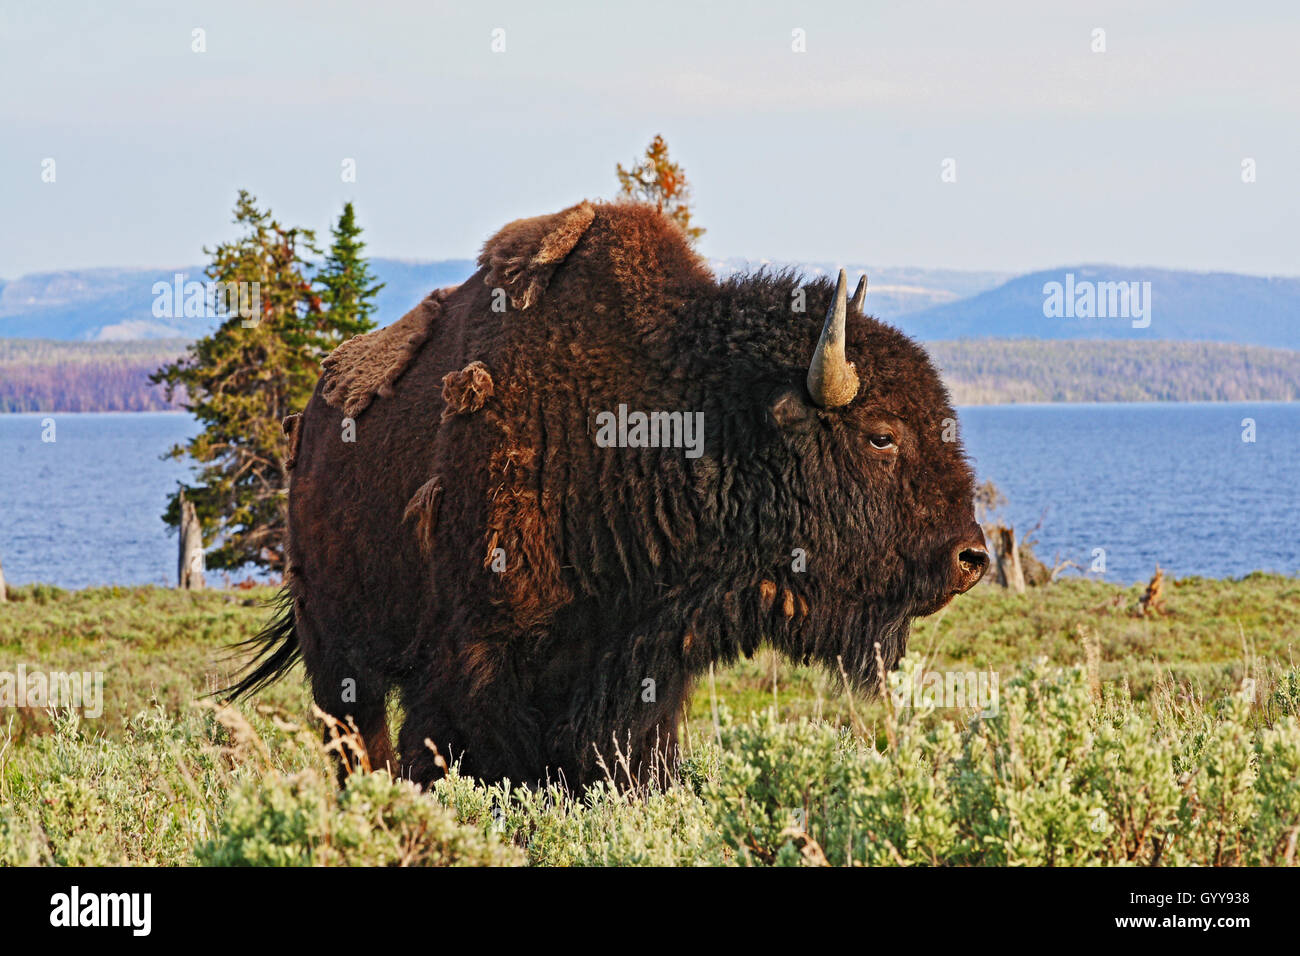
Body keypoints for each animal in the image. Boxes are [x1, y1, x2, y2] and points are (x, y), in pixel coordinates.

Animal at [228, 200, 989, 789]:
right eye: (881, 436)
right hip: (338, 657)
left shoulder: (639, 681)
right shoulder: (472, 671)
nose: (971, 558)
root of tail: (310, 423)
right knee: (358, 743)